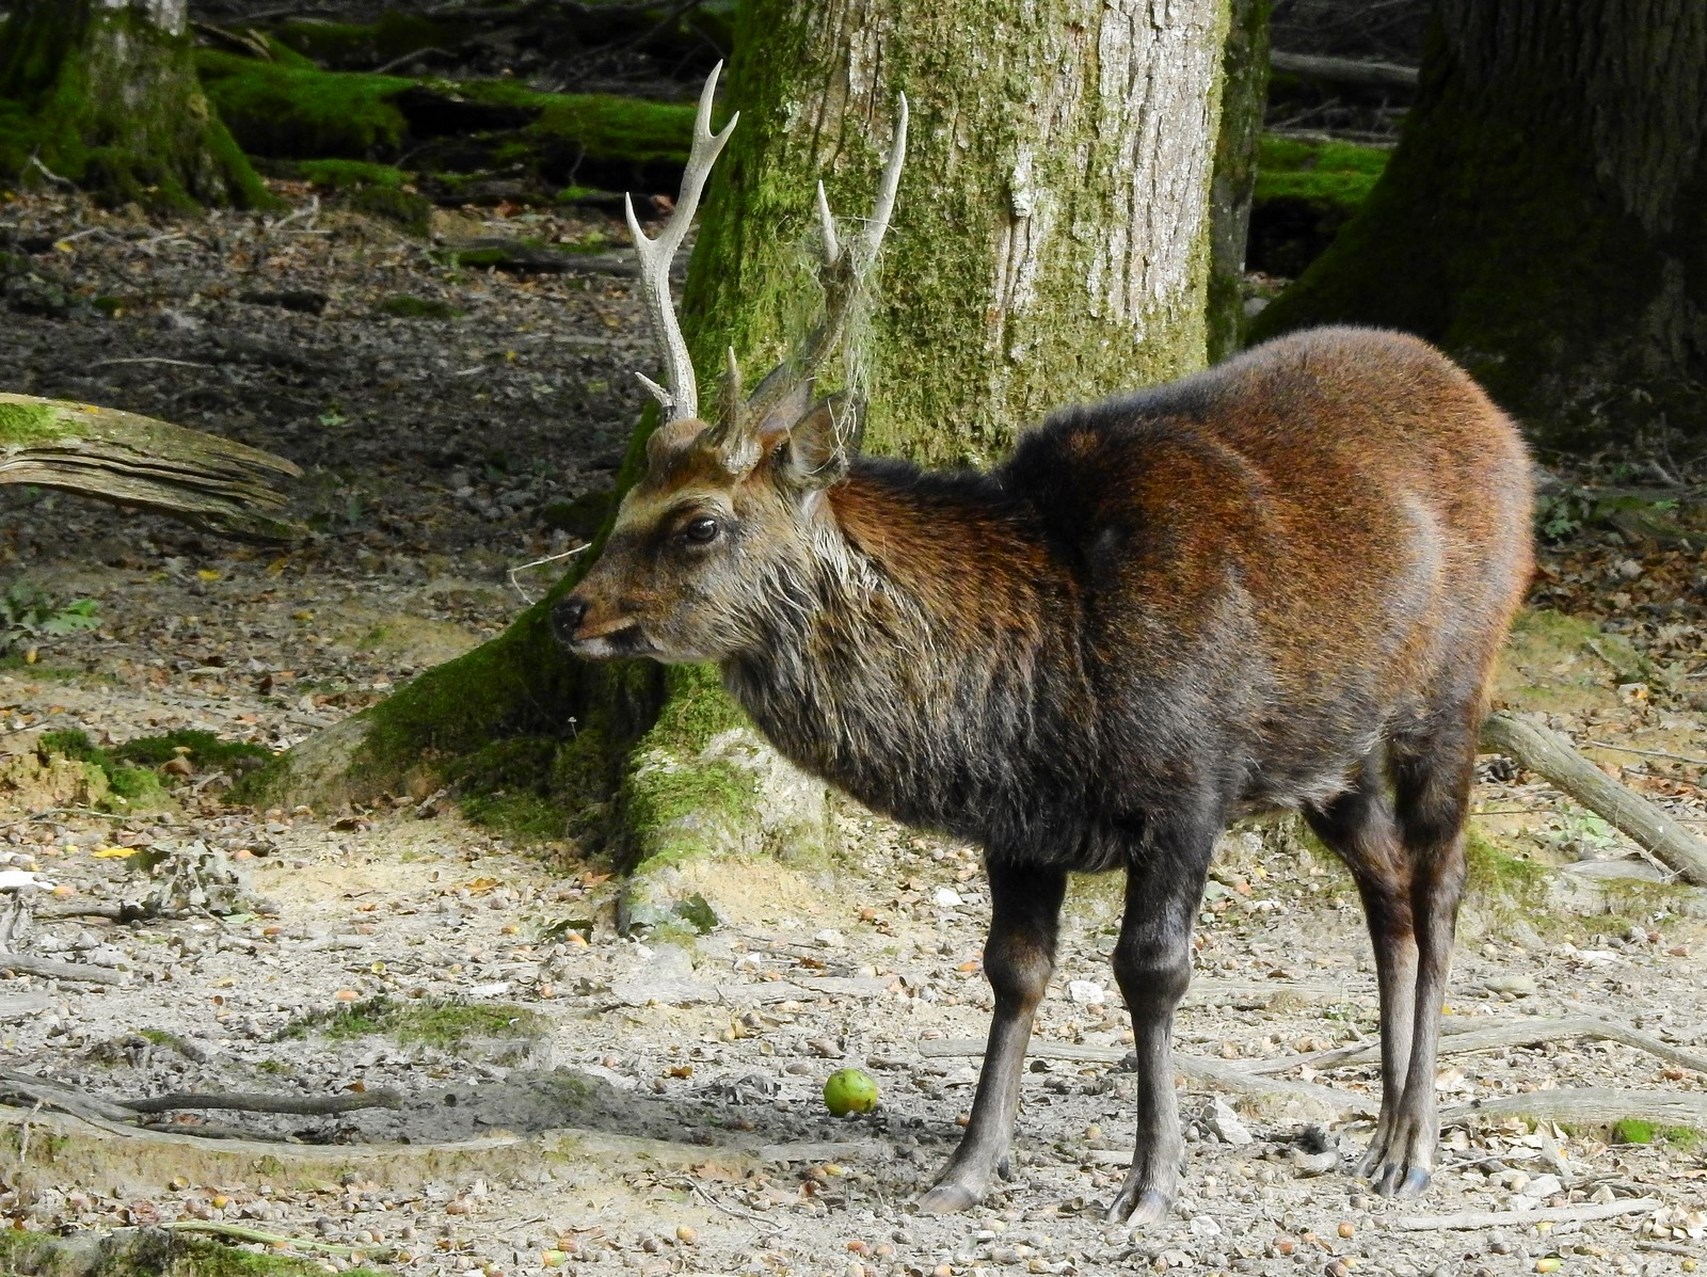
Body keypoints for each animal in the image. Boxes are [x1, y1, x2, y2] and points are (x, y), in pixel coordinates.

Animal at [553, 65, 1535, 1223]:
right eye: (627, 498)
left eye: (699, 521)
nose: (573, 611)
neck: (1037, 688)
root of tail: (1496, 416)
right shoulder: (1019, 827)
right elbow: (1012, 967)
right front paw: (967, 1165)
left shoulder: (1190, 781)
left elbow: (1153, 968)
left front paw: (1151, 1180)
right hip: (1326, 747)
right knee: (1383, 881)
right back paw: (1379, 1126)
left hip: (1455, 681)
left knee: (1440, 880)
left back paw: (1415, 1140)